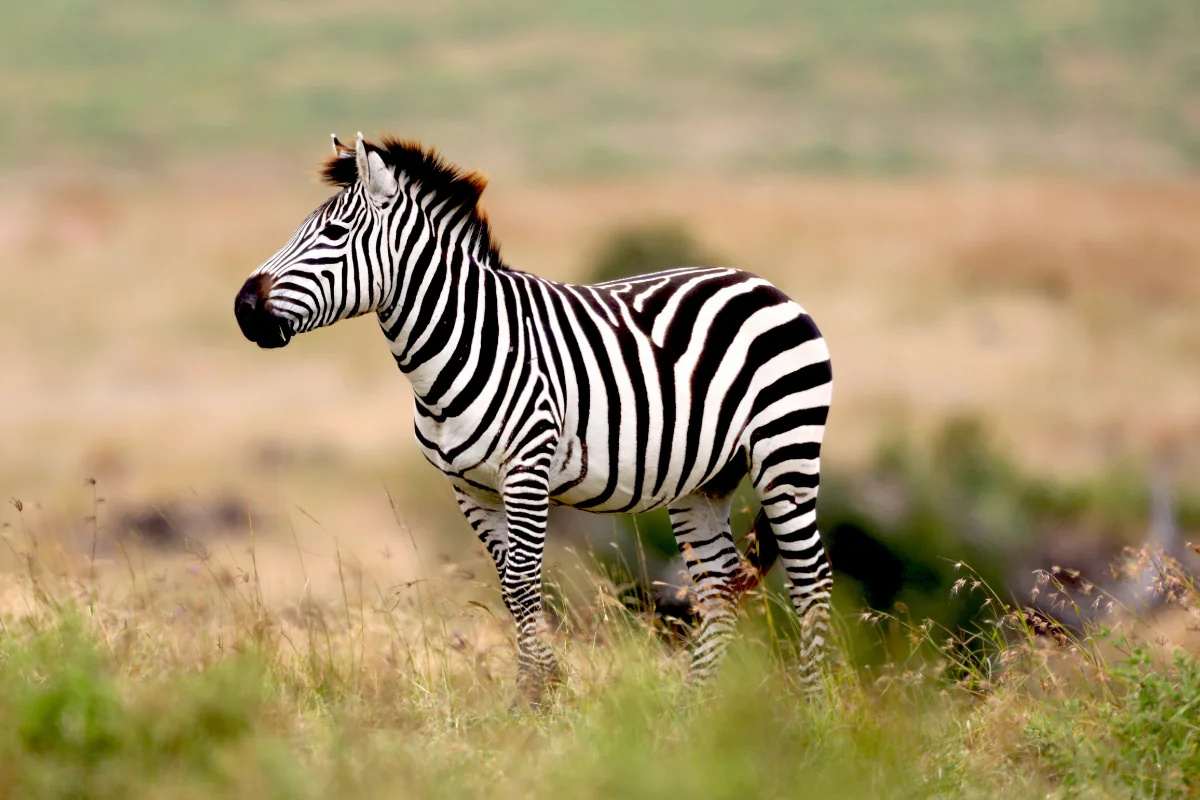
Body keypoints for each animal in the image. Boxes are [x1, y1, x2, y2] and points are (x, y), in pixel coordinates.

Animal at [234, 133, 834, 703]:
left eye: (334, 234)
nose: (243, 308)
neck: (460, 346)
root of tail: (761, 284)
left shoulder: (527, 470)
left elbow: (524, 584)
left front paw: (532, 698)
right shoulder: (468, 485)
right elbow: (508, 587)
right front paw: (544, 688)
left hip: (786, 451)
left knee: (812, 582)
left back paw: (814, 711)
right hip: (704, 481)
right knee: (718, 588)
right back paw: (691, 711)